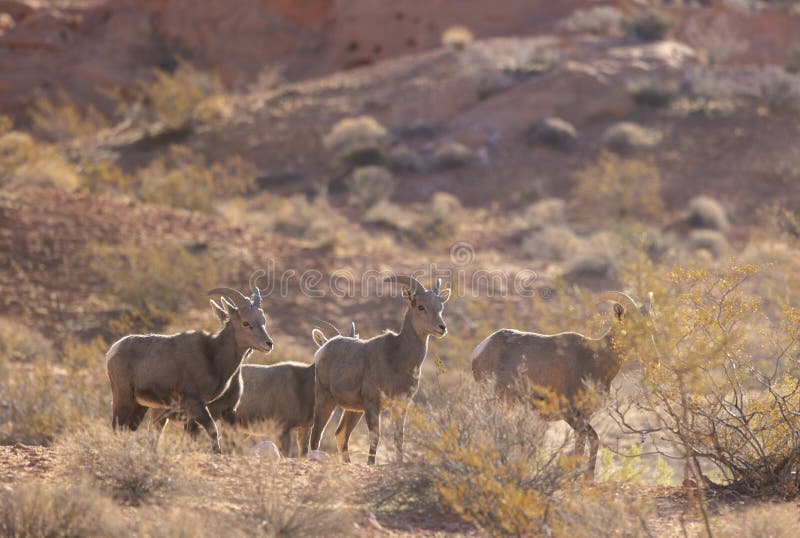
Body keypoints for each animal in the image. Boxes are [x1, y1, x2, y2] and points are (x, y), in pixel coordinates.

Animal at [106, 286, 273, 453]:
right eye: (246, 323)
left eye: (263, 321)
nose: (268, 344)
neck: (213, 357)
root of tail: (113, 350)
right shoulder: (195, 404)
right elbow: (211, 431)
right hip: (125, 400)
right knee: (117, 428)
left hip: (144, 407)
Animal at [309, 276, 450, 464]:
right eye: (421, 306)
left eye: (441, 307)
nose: (442, 328)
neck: (396, 359)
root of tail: (323, 349)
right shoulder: (372, 404)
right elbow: (376, 436)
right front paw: (371, 464)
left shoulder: (400, 405)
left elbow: (399, 437)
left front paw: (400, 462)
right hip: (326, 400)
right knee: (316, 434)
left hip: (353, 411)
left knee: (341, 435)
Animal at [470, 291, 645, 478]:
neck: (595, 360)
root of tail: (480, 350)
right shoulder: (572, 416)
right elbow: (592, 440)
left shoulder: (584, 417)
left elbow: (583, 445)